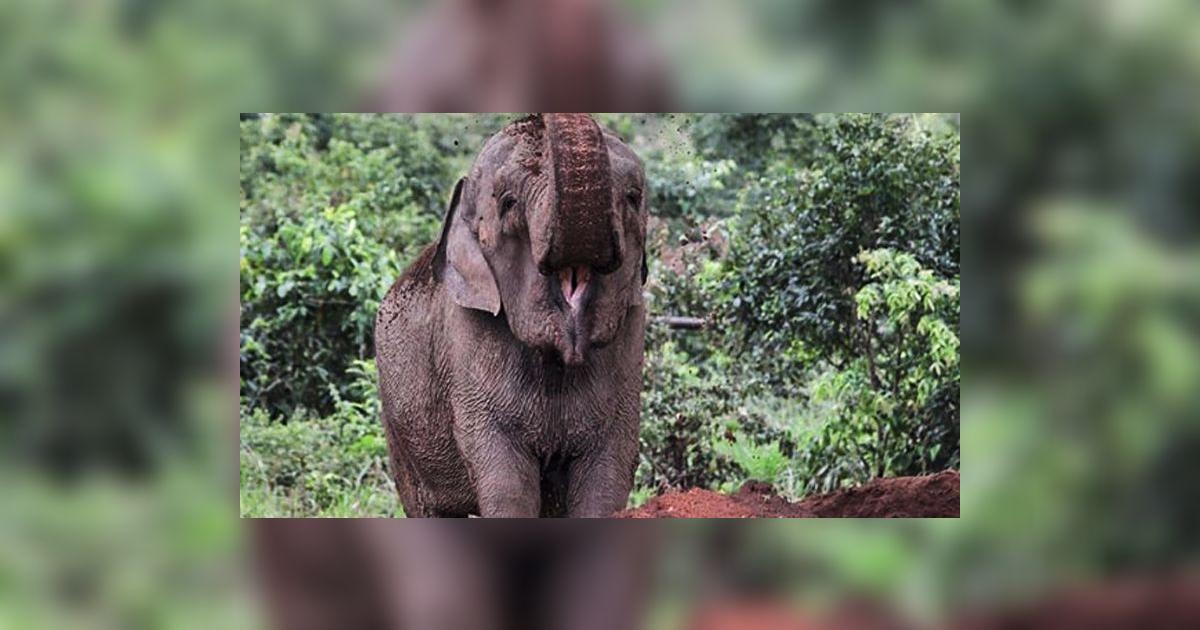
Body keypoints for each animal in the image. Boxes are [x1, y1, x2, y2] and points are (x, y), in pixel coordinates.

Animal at [374, 114, 648, 517]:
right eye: (508, 202)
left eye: (632, 197)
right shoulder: (468, 343)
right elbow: (507, 481)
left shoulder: (630, 338)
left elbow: (607, 475)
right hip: (398, 425)